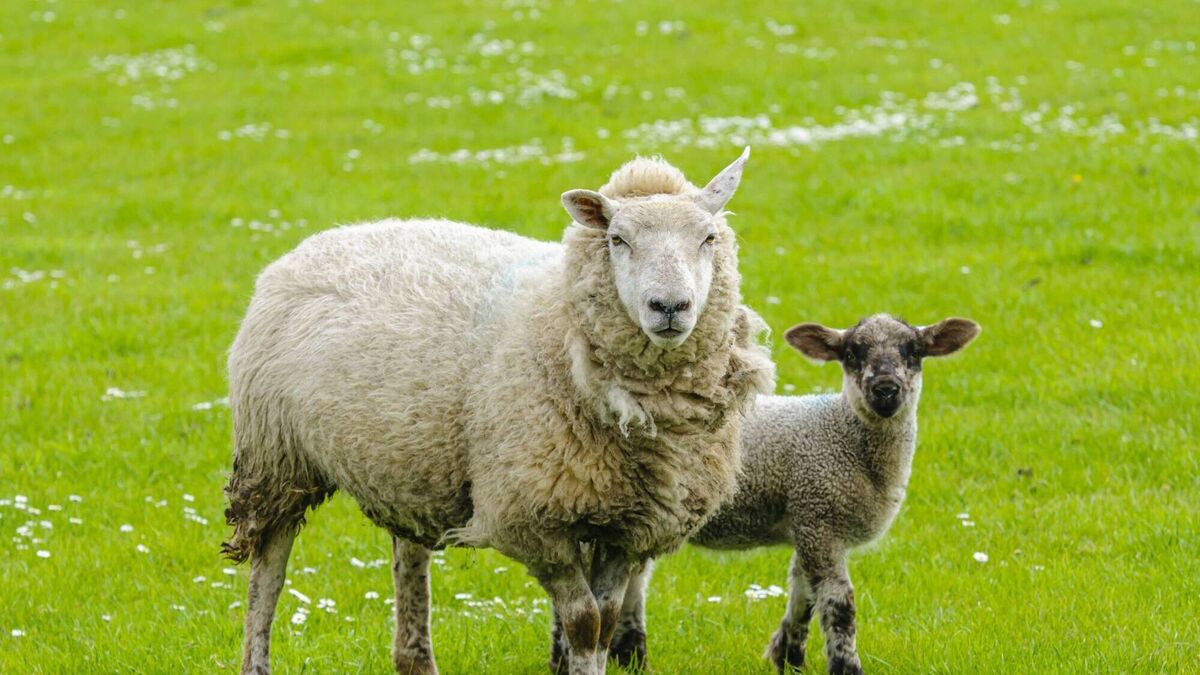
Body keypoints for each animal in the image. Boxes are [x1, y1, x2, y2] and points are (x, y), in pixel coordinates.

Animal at [222, 149, 775, 675]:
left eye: (707, 238)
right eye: (618, 239)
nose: (670, 307)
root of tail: (314, 244)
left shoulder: (630, 524)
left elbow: (606, 622)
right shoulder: (531, 518)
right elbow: (584, 622)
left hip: (407, 462)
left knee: (409, 560)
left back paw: (417, 660)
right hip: (277, 456)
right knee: (269, 571)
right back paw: (257, 659)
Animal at [601, 313, 980, 674]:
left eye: (914, 351)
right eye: (851, 353)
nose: (886, 390)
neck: (842, 434)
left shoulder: (808, 521)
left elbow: (804, 599)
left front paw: (789, 658)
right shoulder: (819, 514)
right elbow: (839, 604)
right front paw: (845, 666)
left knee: (631, 585)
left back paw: (628, 658)